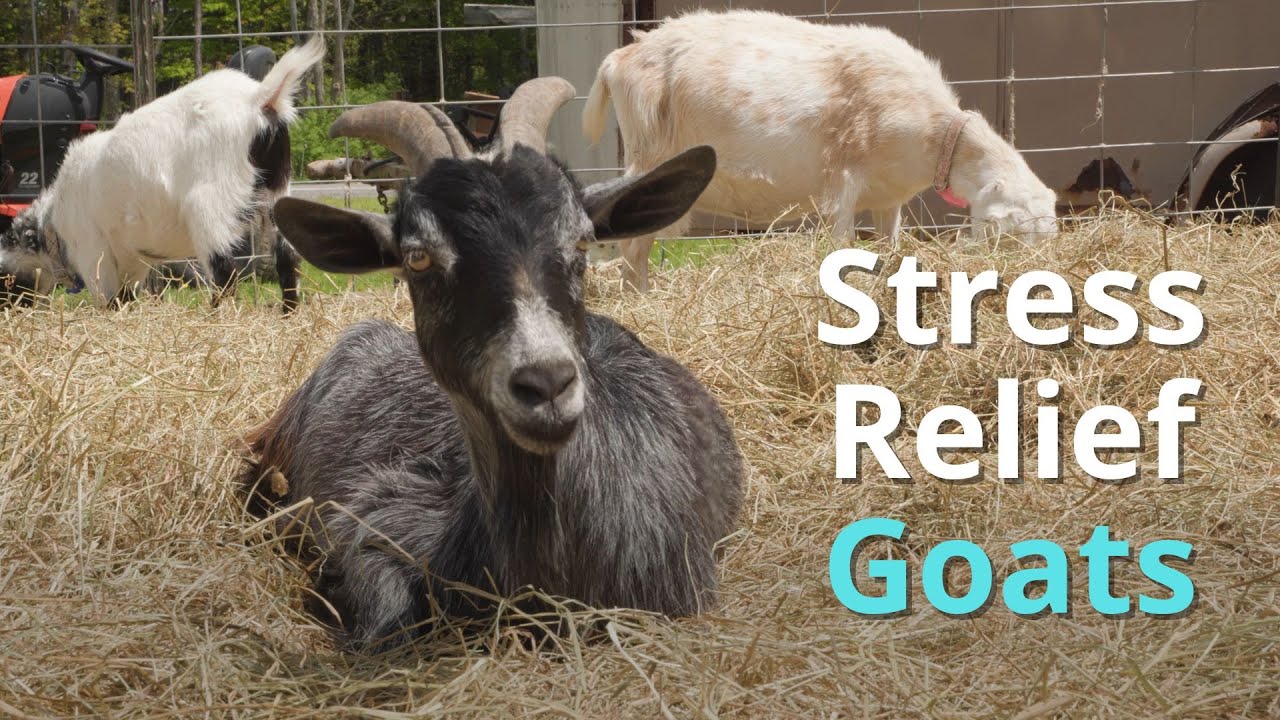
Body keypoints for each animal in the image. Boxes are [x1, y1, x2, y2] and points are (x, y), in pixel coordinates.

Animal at [0, 36, 323, 312]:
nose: (11, 308)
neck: (53, 222)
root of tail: (260, 99)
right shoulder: (133, 260)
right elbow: (126, 297)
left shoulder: (94, 255)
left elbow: (109, 300)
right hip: (277, 192)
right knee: (288, 260)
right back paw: (287, 314)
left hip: (210, 205)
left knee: (225, 272)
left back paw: (216, 316)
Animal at [583, 9, 1060, 291]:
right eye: (1020, 232)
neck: (932, 131)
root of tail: (618, 60)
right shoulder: (844, 180)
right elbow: (842, 241)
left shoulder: (888, 197)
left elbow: (889, 244)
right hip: (651, 156)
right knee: (634, 247)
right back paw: (642, 299)